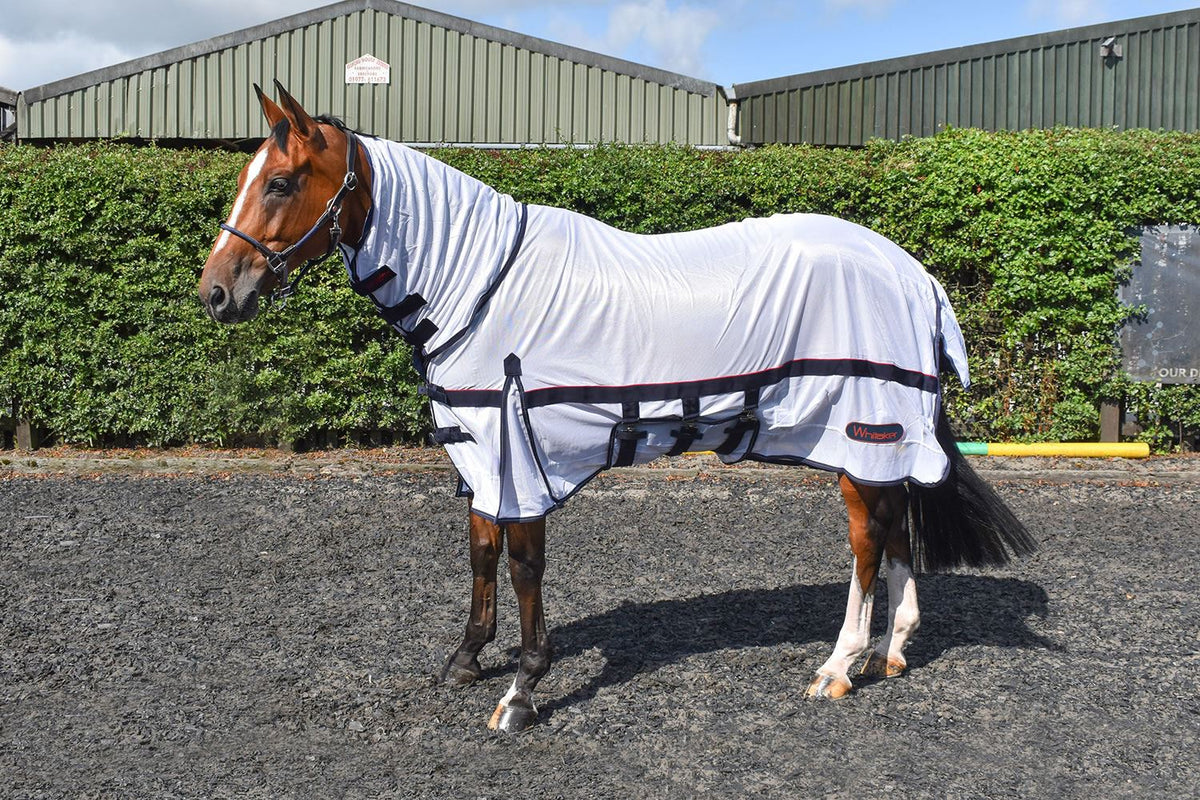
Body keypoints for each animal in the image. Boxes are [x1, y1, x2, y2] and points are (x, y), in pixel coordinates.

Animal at [199, 83, 1034, 733]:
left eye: (281, 182)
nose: (215, 293)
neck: (478, 285)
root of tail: (914, 275)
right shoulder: (480, 452)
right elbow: (481, 555)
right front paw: (465, 659)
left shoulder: (519, 453)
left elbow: (524, 566)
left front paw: (522, 691)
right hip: (876, 443)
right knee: (896, 530)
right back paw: (892, 651)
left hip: (864, 434)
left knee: (868, 542)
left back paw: (839, 666)